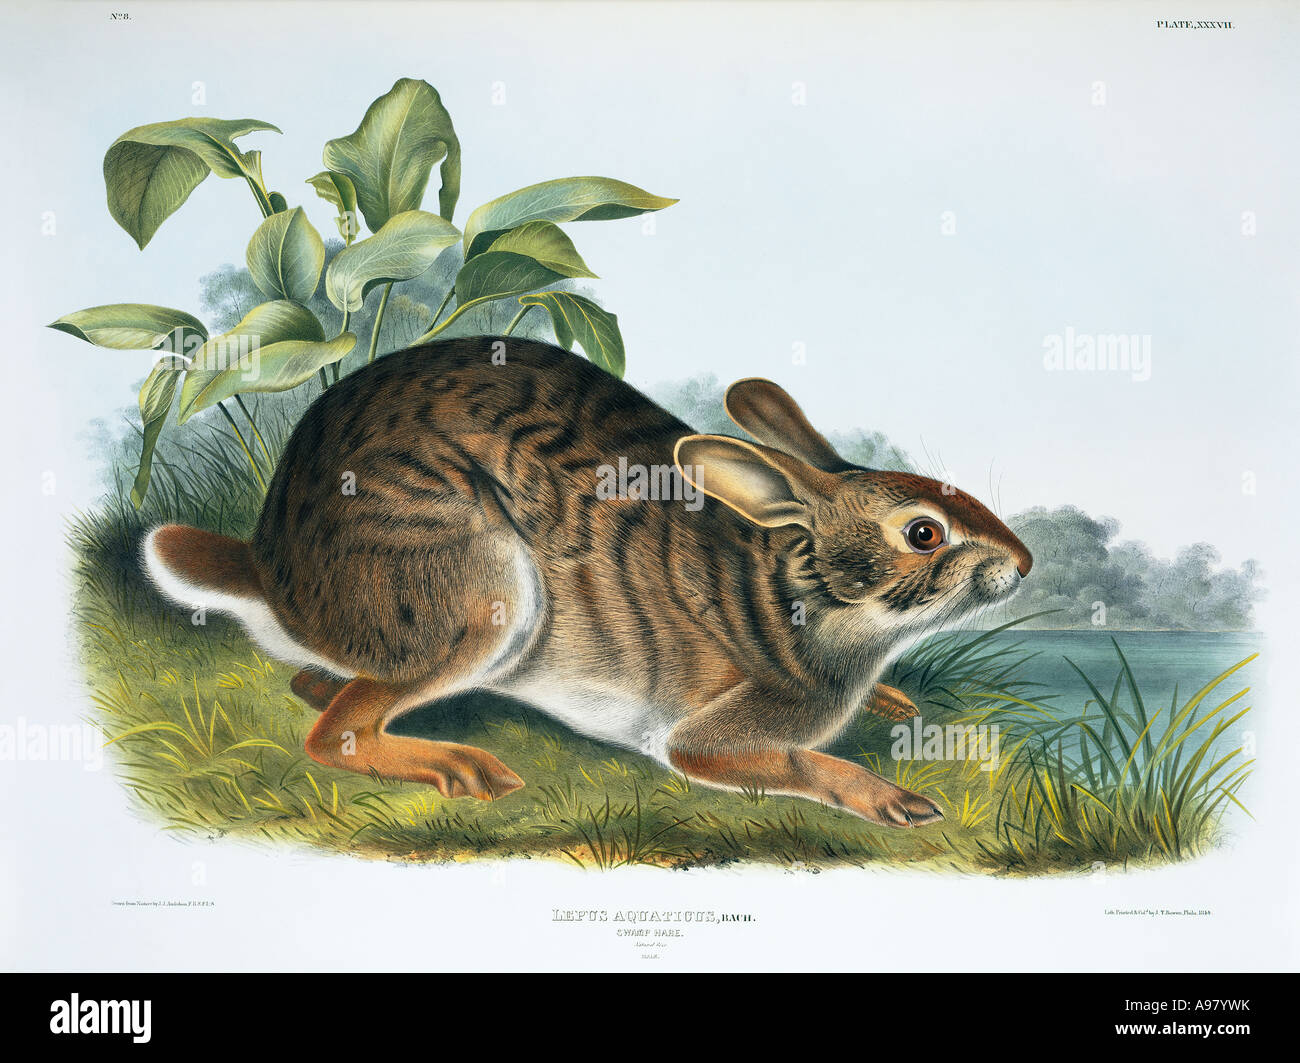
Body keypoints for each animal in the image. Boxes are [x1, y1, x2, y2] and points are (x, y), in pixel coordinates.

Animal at [143, 336, 1031, 828]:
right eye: (924, 532)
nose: (1023, 564)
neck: (805, 595)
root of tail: (272, 571)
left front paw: (894, 702)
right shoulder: (709, 737)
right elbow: (782, 763)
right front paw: (891, 799)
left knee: (314, 688)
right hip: (485, 591)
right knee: (334, 734)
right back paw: (458, 765)